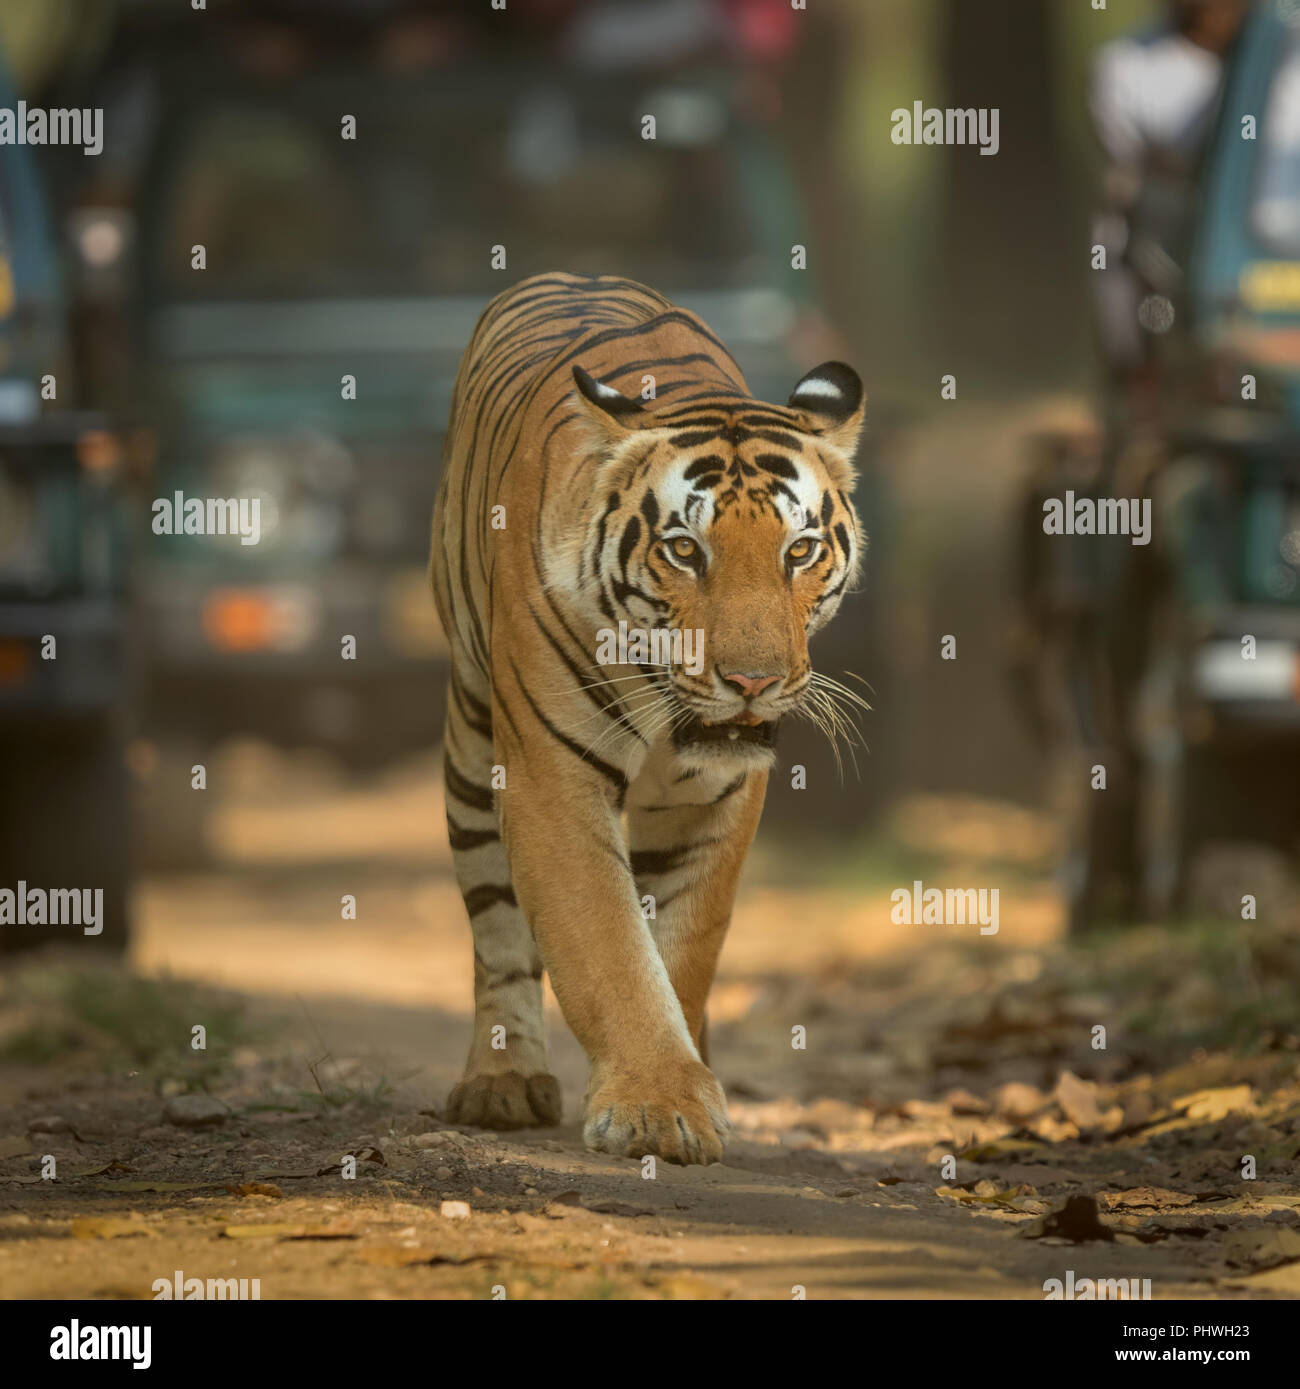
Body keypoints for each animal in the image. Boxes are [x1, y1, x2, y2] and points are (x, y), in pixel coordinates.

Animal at [430, 271, 864, 1165]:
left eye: (799, 551)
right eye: (684, 550)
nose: (754, 680)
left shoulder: (722, 795)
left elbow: (685, 948)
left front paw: (687, 1083)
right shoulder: (551, 781)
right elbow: (606, 945)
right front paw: (656, 1106)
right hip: (472, 745)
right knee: (496, 927)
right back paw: (501, 1083)